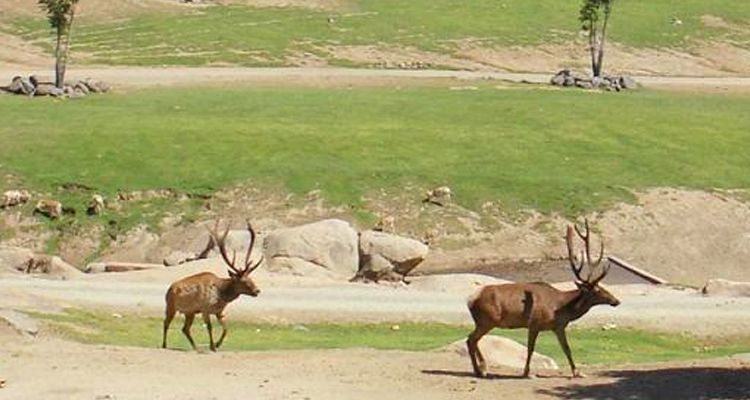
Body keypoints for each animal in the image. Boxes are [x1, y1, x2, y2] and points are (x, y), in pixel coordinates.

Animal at [162, 220, 263, 352]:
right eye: (243, 281)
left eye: (251, 278)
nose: (257, 290)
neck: (221, 296)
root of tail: (169, 288)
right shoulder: (205, 309)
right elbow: (209, 327)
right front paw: (212, 346)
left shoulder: (219, 311)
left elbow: (226, 328)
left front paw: (217, 344)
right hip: (170, 306)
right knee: (166, 323)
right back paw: (164, 345)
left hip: (190, 312)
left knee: (185, 329)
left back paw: (195, 347)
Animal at [466, 219, 620, 379]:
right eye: (597, 290)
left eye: (602, 287)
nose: (616, 301)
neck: (560, 308)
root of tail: (470, 300)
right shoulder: (534, 323)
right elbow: (531, 348)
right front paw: (527, 373)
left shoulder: (558, 327)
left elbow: (566, 348)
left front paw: (577, 372)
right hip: (487, 320)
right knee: (471, 339)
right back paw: (482, 369)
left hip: (484, 321)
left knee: (470, 340)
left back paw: (479, 370)